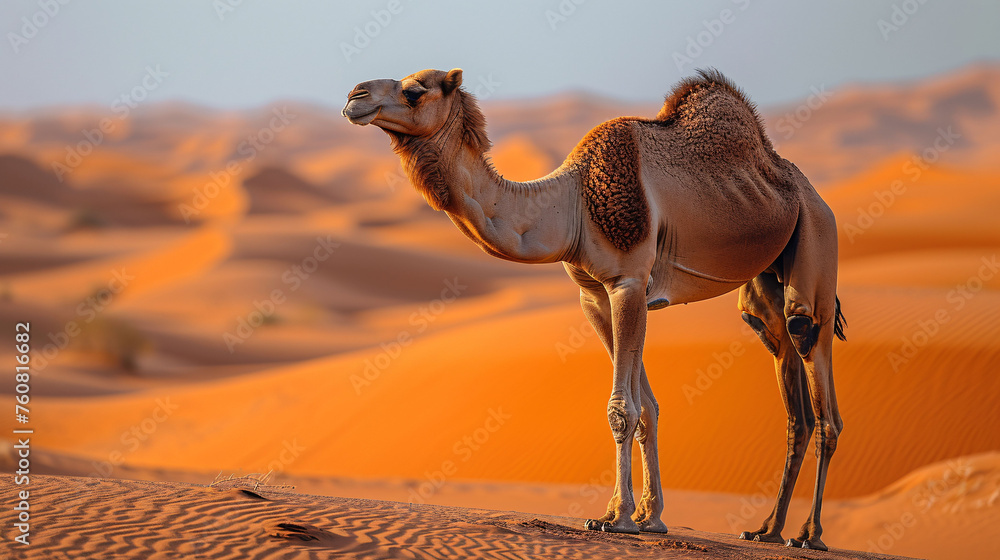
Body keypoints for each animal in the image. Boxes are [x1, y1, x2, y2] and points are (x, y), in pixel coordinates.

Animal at [343, 68, 846, 550]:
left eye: (414, 90)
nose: (354, 96)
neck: (571, 205)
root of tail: (811, 192)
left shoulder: (629, 282)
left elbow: (622, 408)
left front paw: (618, 520)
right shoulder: (595, 295)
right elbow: (647, 408)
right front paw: (647, 518)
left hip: (817, 241)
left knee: (817, 375)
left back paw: (810, 534)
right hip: (765, 285)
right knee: (791, 391)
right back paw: (767, 530)